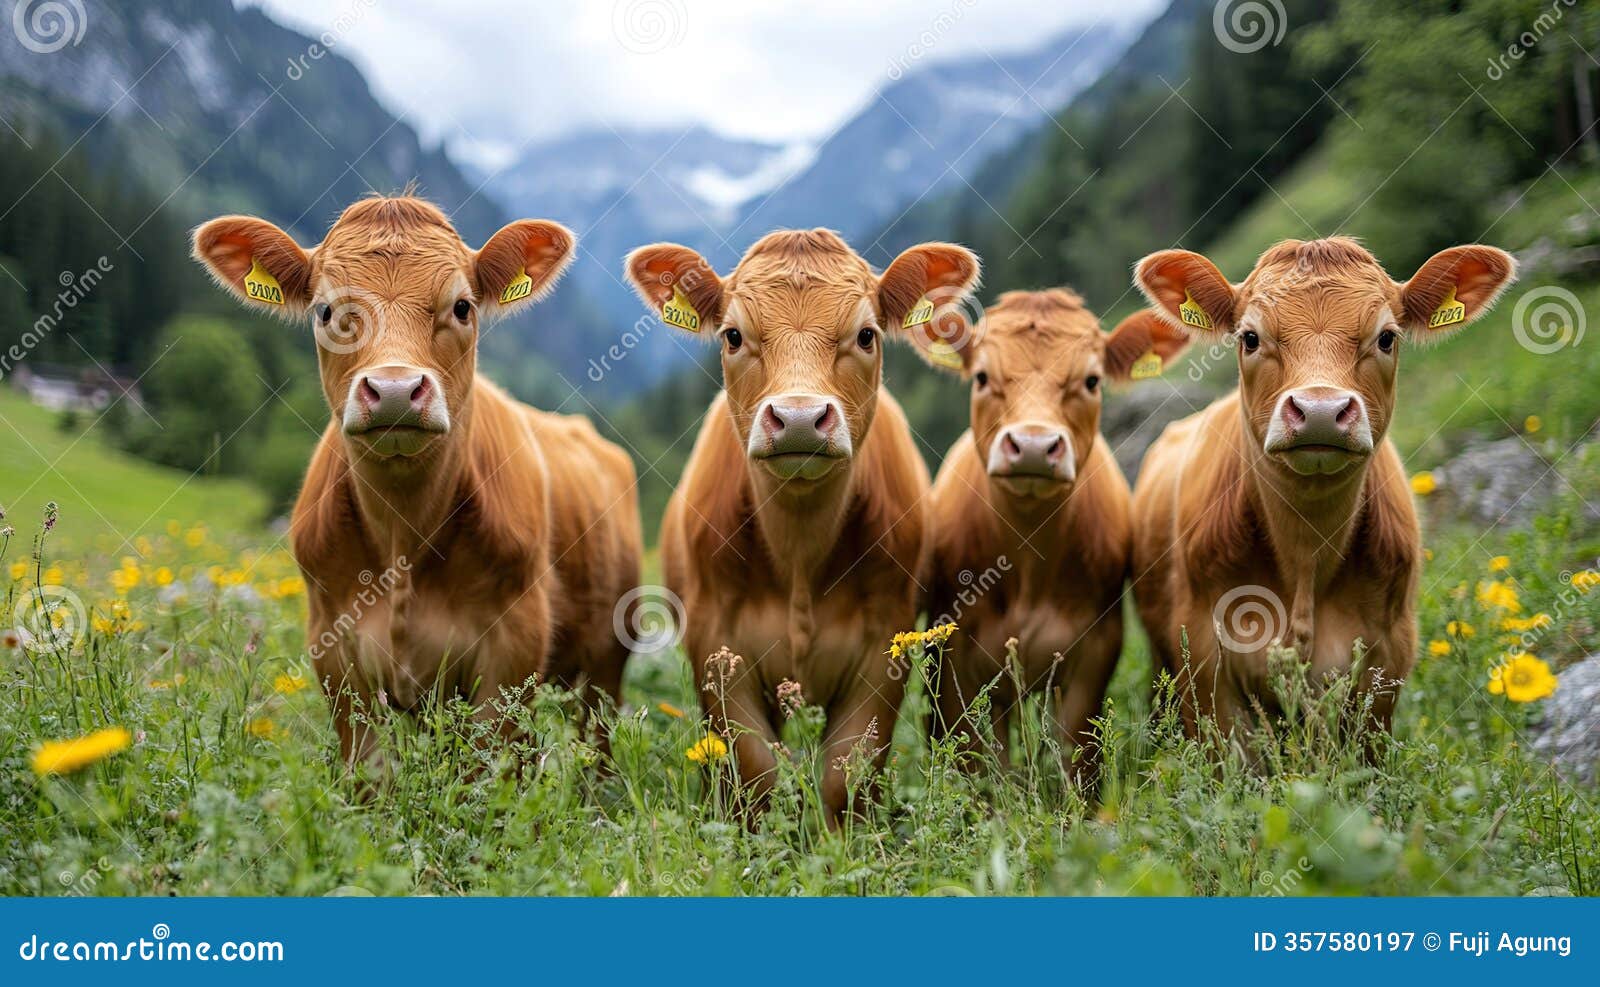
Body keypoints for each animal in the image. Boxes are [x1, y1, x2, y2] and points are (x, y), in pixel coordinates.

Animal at [192, 194, 643, 771]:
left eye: (462, 307)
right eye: (326, 311)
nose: (394, 390)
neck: (402, 536)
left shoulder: (514, 648)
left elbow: (487, 771)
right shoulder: (333, 647)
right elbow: (368, 770)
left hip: (605, 662)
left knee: (595, 742)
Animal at [624, 229, 979, 822]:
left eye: (865, 334)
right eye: (733, 335)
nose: (796, 419)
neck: (798, 552)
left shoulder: (883, 649)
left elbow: (844, 774)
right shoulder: (716, 647)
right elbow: (755, 770)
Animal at [918, 290, 1189, 790]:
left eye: (1091, 380)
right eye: (982, 376)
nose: (1031, 445)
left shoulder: (1094, 654)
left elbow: (1076, 760)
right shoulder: (954, 663)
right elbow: (983, 771)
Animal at [1128, 237, 1516, 752]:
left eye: (1386, 337)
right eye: (1250, 338)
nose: (1319, 411)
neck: (1306, 561)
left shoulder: (1386, 663)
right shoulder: (1205, 662)